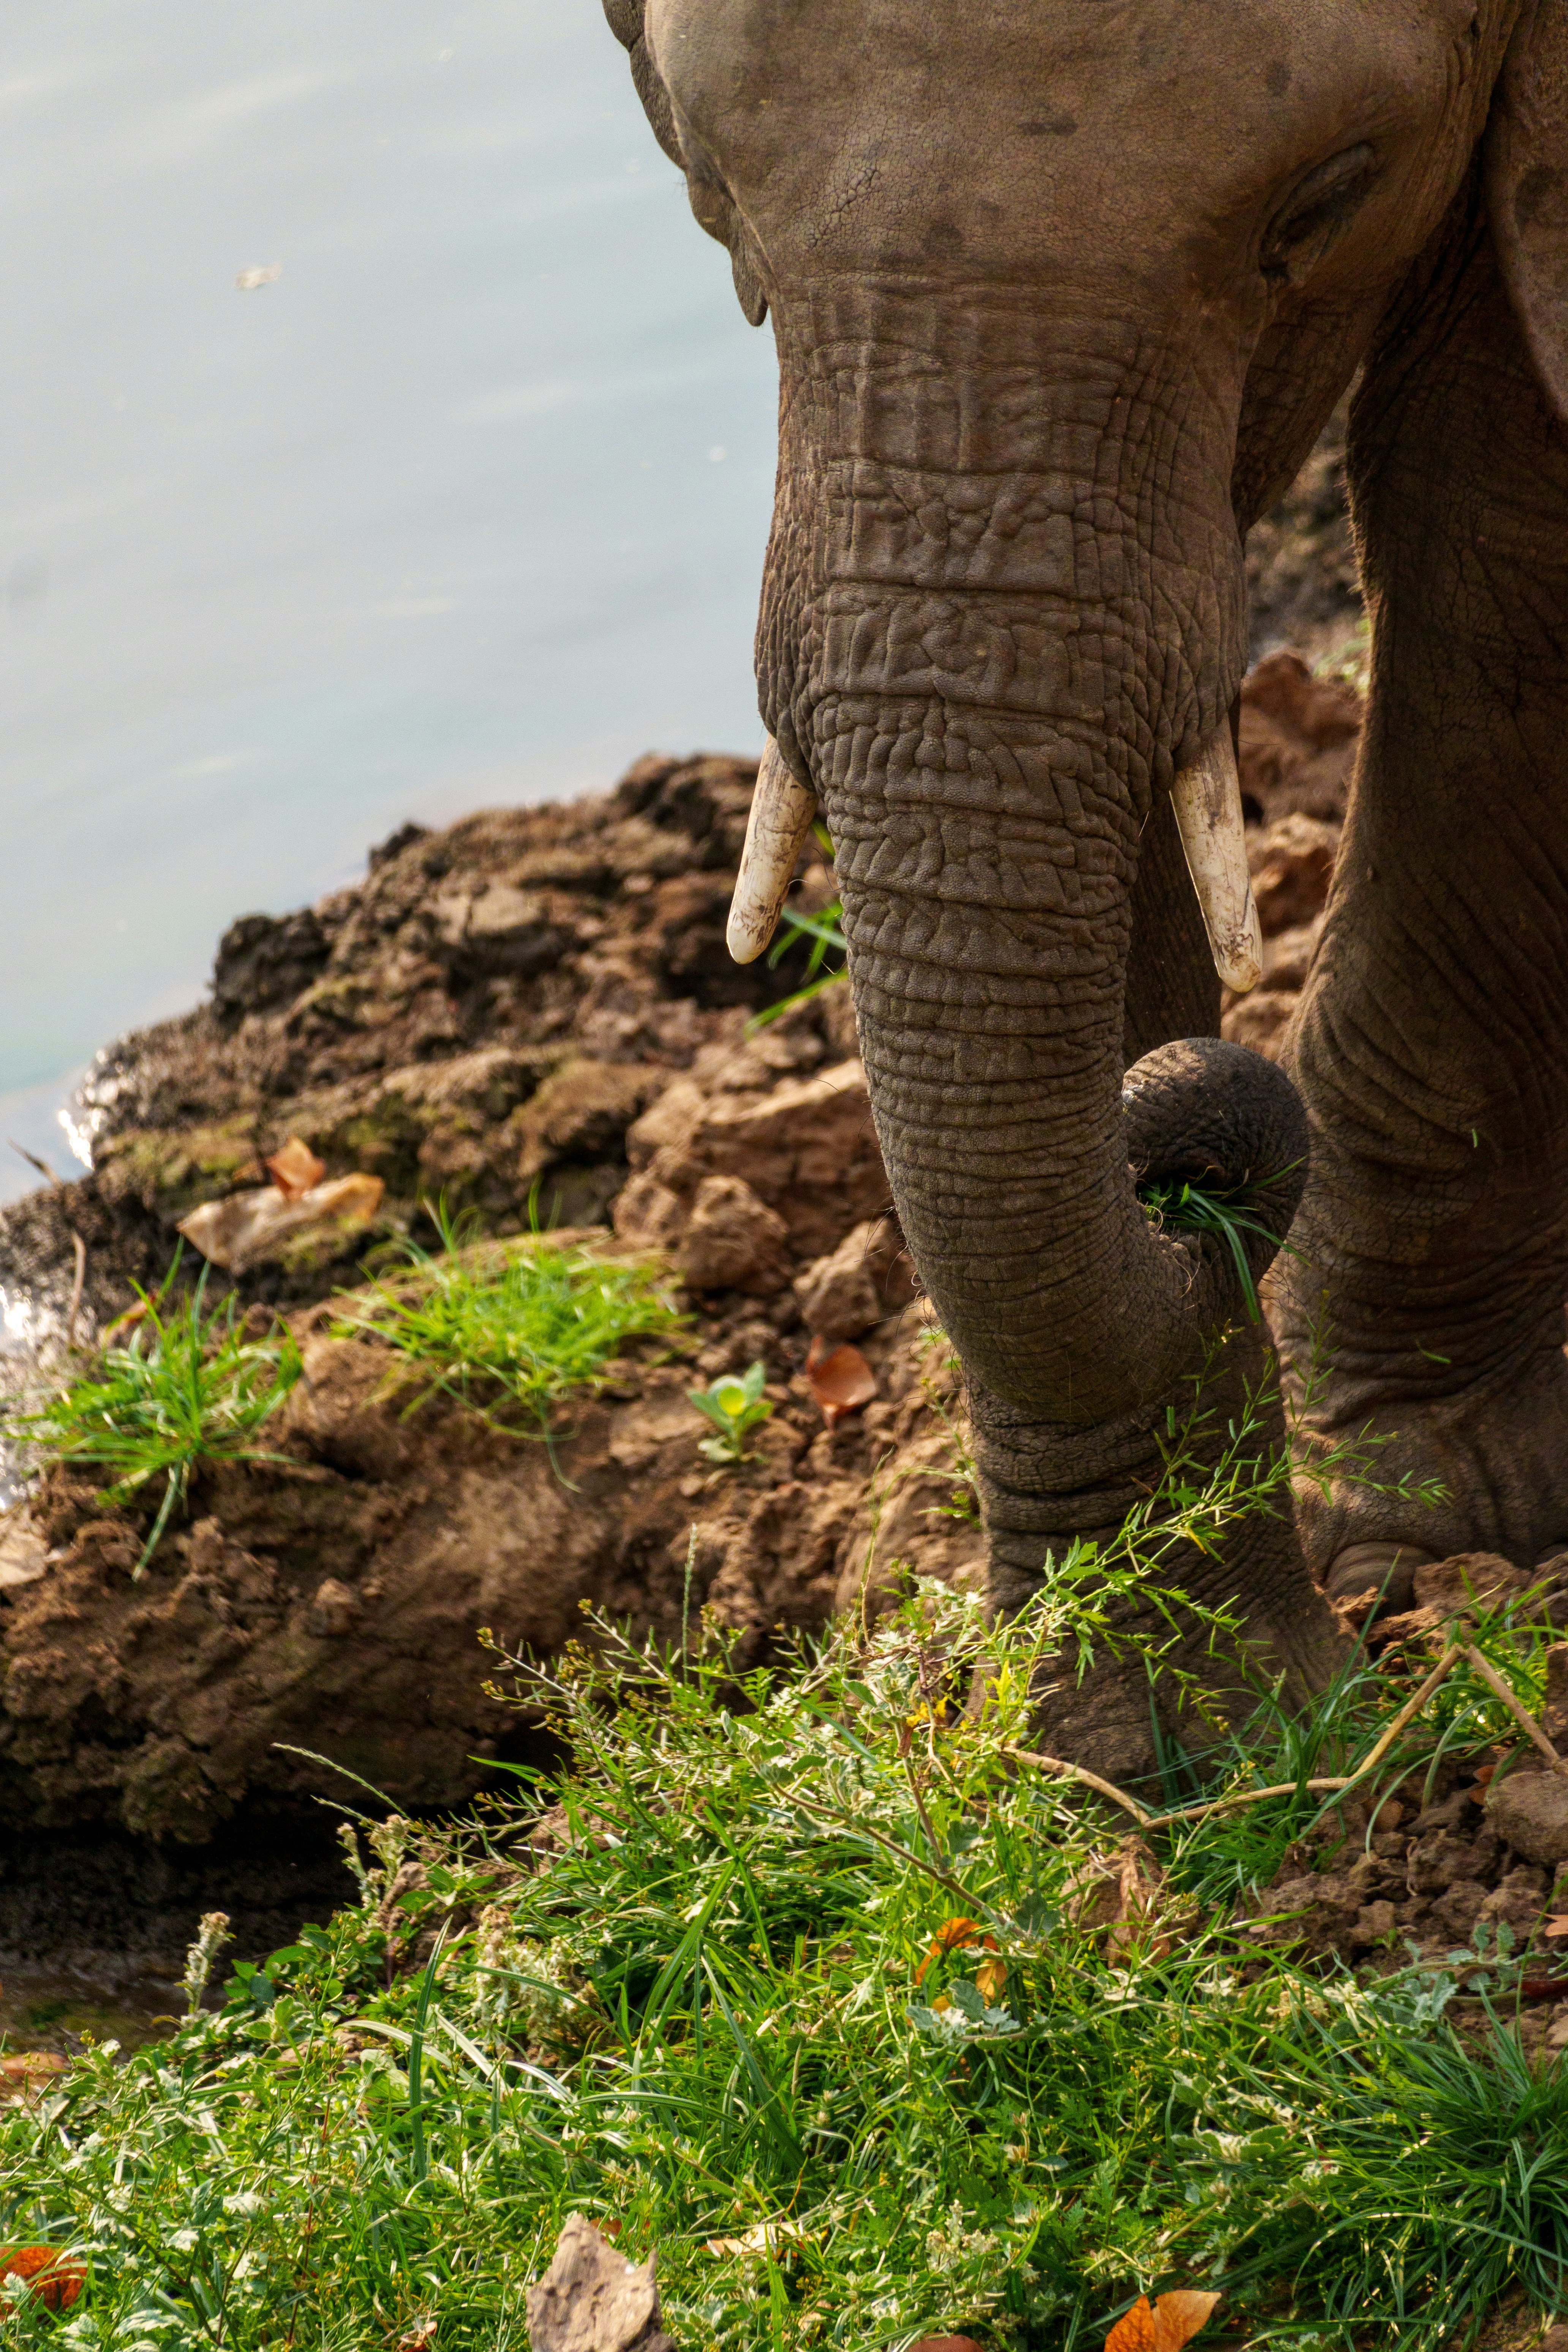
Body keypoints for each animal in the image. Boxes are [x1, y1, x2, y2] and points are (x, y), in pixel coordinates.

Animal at [602, 0, 1568, 1773]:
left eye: (1326, 194)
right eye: (706, 191)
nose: (1173, 1166)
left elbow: (1507, 536)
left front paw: (1398, 1530)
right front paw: (1162, 1743)